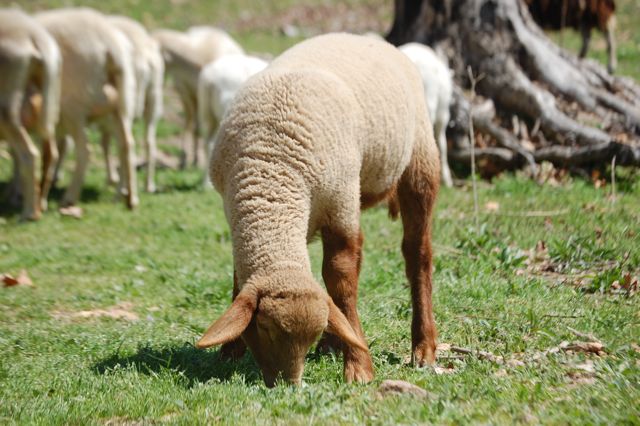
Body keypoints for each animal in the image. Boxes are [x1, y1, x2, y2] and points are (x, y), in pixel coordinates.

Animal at [0, 8, 61, 220]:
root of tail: (35, 36)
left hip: (7, 107)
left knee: (29, 154)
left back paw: (28, 213)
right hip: (47, 97)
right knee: (50, 153)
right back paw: (39, 205)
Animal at [36, 8, 139, 209]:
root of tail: (111, 45)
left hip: (73, 106)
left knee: (85, 151)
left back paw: (69, 198)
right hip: (120, 104)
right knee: (126, 144)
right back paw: (130, 199)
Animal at [98, 15, 164, 193]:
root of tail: (143, 59)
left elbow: (105, 143)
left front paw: (112, 178)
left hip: (127, 103)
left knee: (126, 144)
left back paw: (122, 188)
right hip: (153, 98)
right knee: (149, 142)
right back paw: (149, 185)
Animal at [196, 33, 441, 387]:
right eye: (265, 327)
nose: (287, 385)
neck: (273, 177)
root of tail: (363, 38)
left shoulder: (340, 206)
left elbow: (340, 280)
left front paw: (358, 365)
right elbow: (239, 279)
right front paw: (230, 348)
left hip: (417, 162)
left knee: (416, 254)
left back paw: (423, 348)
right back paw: (334, 344)